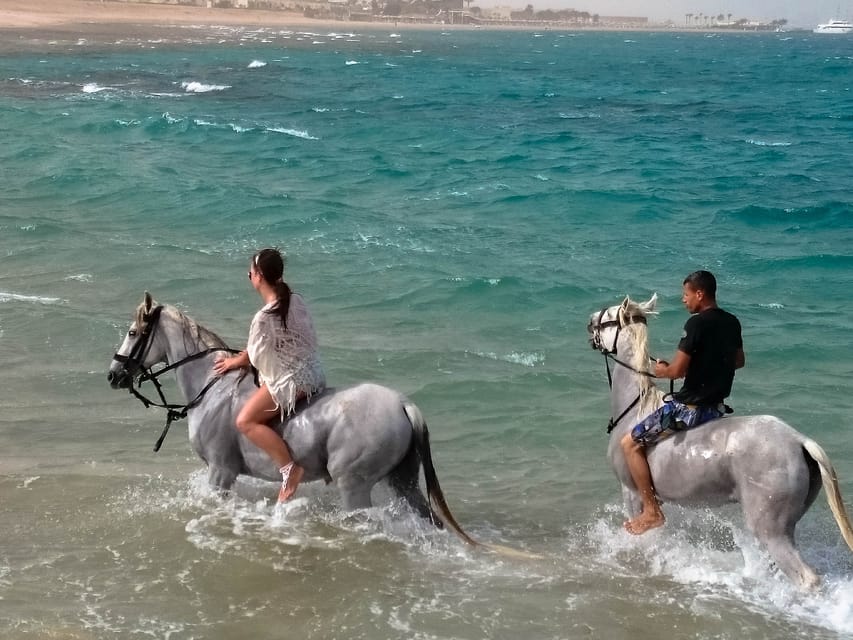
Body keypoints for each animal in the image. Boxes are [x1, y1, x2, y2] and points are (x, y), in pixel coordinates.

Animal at [107, 292, 486, 549]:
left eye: (132, 332)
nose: (113, 376)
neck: (213, 387)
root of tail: (404, 405)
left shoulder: (220, 472)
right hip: (402, 481)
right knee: (429, 519)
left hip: (355, 485)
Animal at [587, 293, 853, 589]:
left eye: (608, 317)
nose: (589, 322)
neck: (636, 407)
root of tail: (798, 440)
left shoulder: (632, 492)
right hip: (788, 523)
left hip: (769, 528)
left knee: (806, 578)